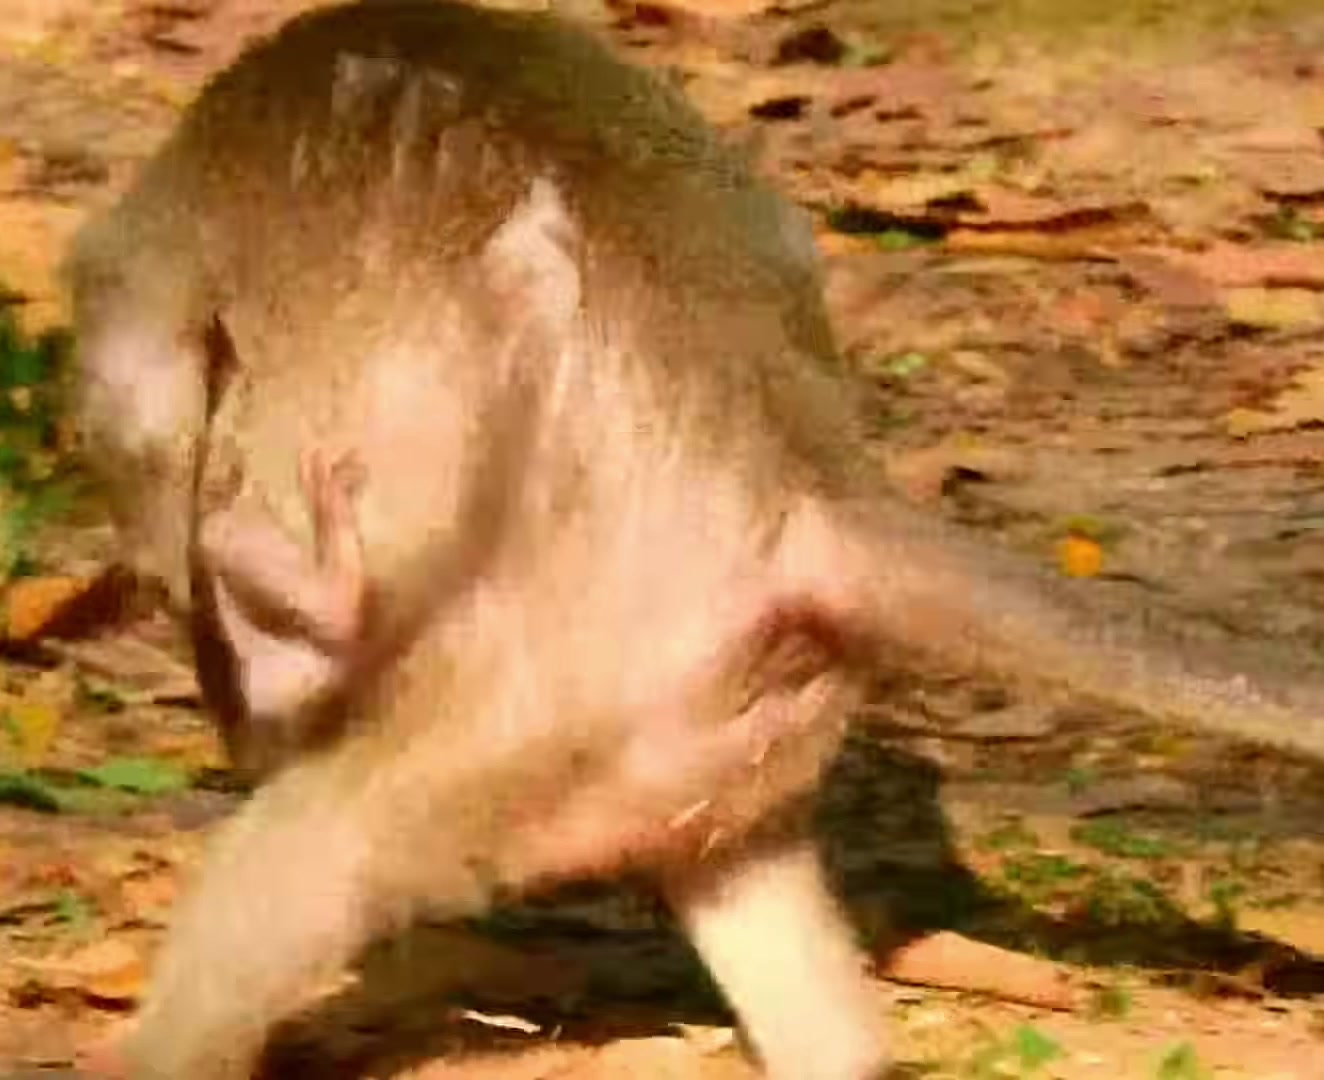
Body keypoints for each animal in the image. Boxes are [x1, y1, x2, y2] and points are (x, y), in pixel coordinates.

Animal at [64, 2, 1324, 1078]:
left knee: (304, 854)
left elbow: (141, 400)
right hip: (722, 728)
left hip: (523, 708)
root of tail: (800, 481)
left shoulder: (160, 255)